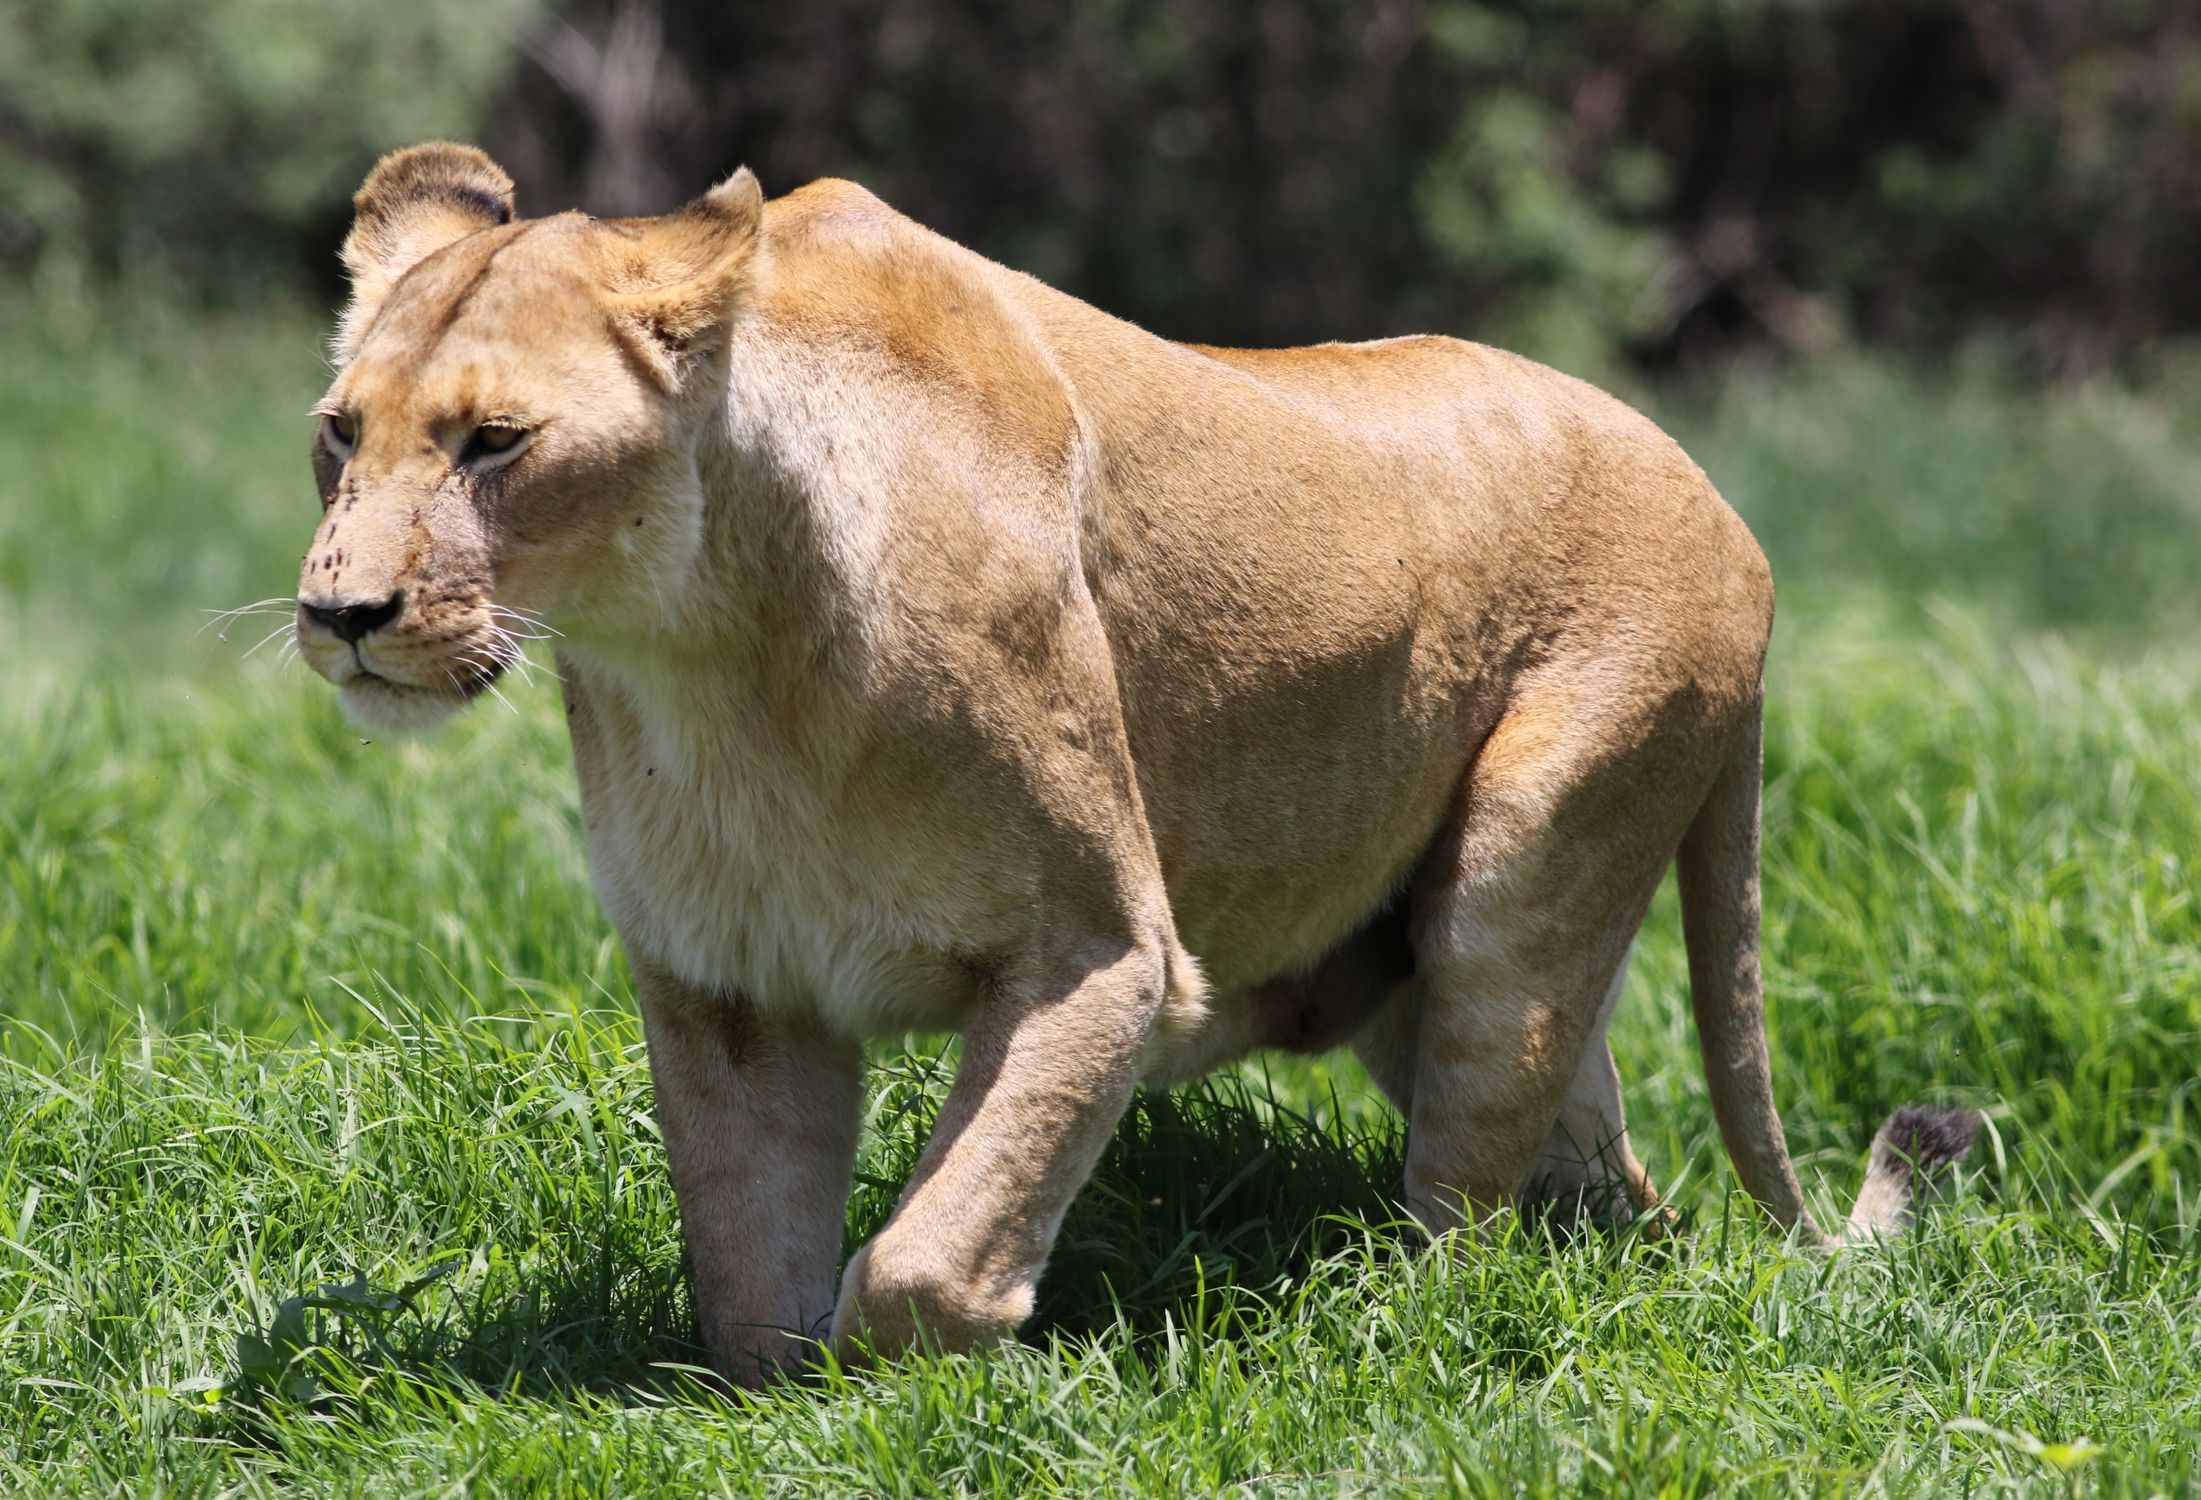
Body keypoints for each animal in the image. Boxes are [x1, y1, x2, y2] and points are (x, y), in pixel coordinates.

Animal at [292, 141, 1978, 1385]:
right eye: (339, 434)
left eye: (495, 442)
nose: (339, 614)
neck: (705, 650)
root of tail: (1732, 516)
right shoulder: (731, 982)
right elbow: (743, 1272)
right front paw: (774, 1414)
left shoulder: (1101, 954)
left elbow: (923, 1256)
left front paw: (933, 1385)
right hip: (1444, 972)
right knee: (1615, 1192)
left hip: (1525, 878)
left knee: (1470, 1205)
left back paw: (1391, 1336)